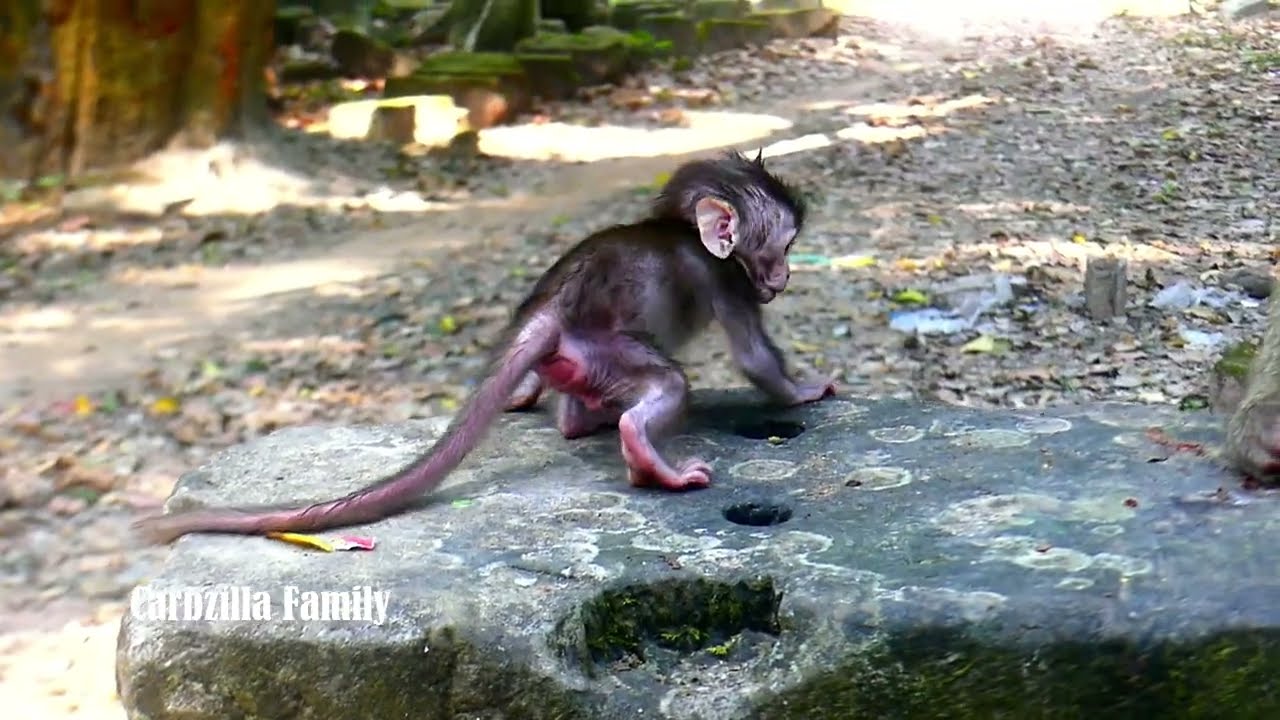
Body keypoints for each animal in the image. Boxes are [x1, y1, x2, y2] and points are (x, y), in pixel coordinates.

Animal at [132, 150, 835, 544]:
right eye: (781, 249)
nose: (784, 277)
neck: (683, 228)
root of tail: (548, 312)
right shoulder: (728, 280)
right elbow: (753, 358)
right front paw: (805, 388)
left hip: (576, 365)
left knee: (578, 411)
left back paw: (583, 420)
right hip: (603, 348)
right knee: (666, 387)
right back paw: (643, 450)